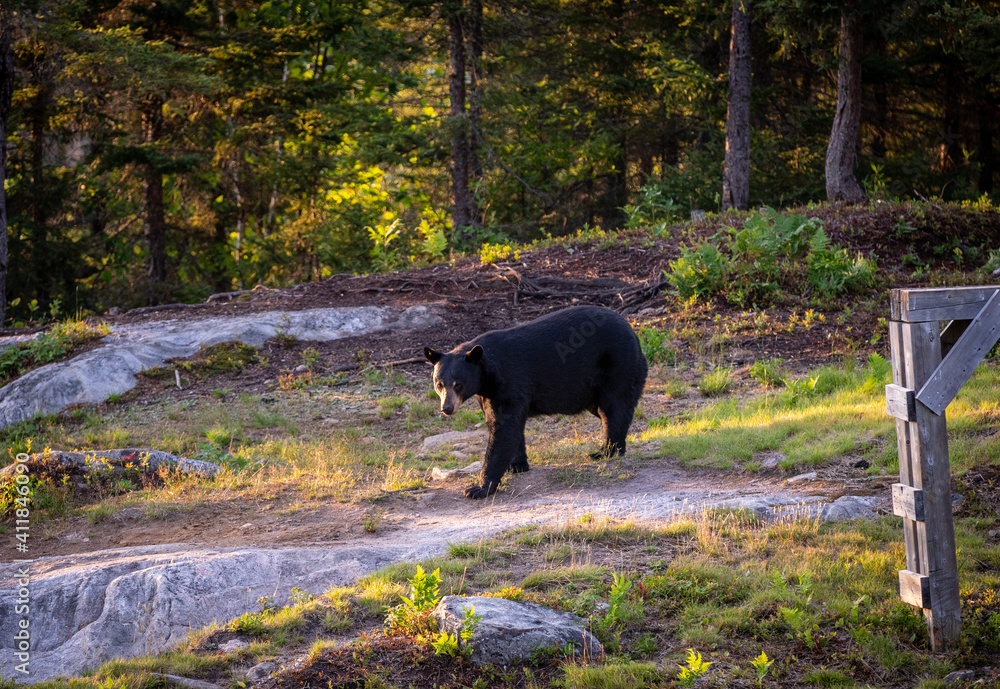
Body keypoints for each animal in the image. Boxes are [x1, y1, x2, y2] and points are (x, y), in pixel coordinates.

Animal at [424, 305, 648, 499]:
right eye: (439, 384)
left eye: (458, 384)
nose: (447, 408)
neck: (488, 373)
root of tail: (633, 331)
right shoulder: (487, 393)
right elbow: (508, 426)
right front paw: (517, 464)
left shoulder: (510, 381)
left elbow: (504, 428)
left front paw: (478, 488)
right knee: (605, 409)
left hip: (618, 364)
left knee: (614, 407)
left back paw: (608, 450)